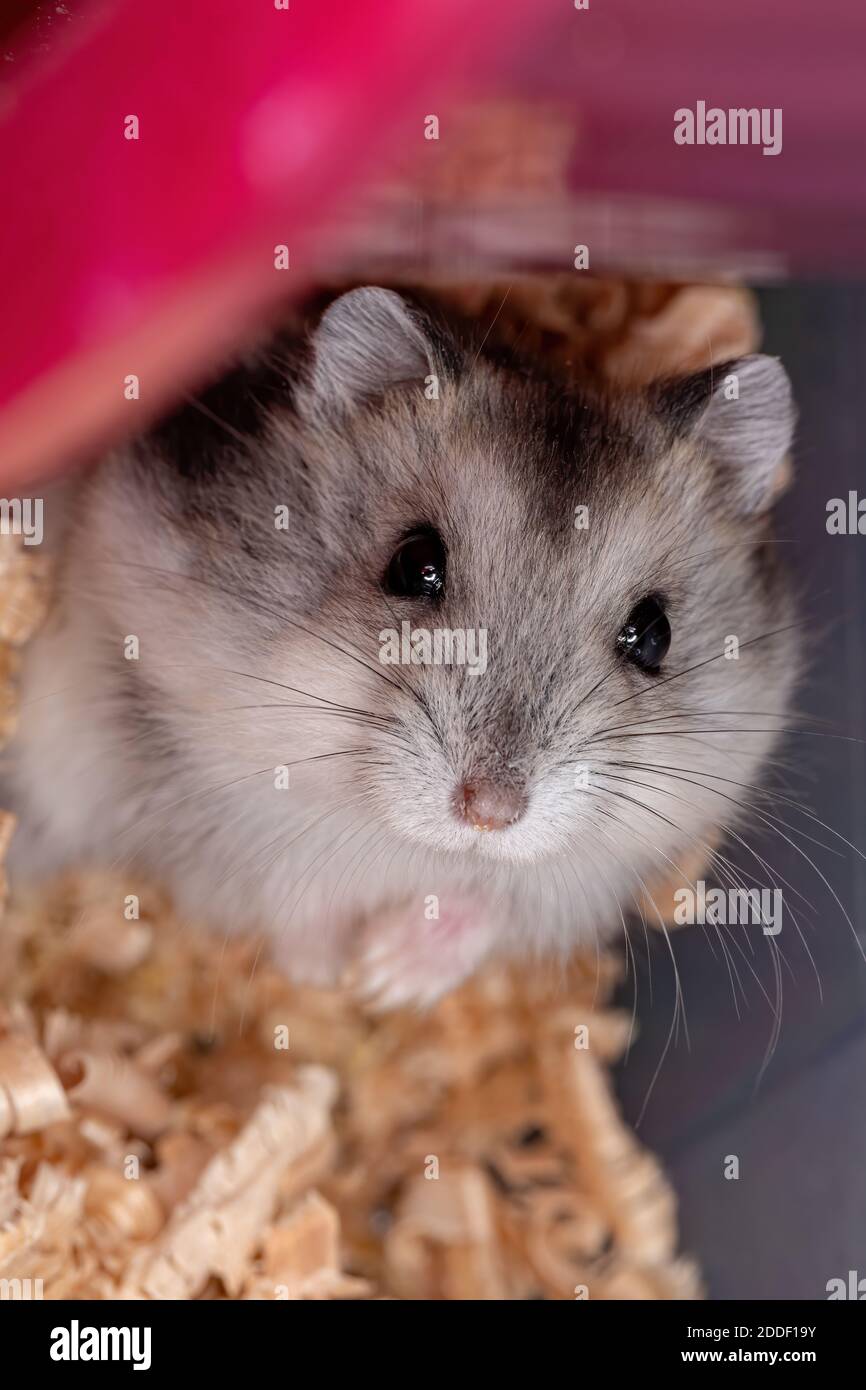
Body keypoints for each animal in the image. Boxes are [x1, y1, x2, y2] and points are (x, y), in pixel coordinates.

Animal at [2, 286, 798, 1006]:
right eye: (415, 564)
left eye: (652, 634)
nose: (489, 815)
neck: (413, 848)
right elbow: (293, 895)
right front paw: (333, 977)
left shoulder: (587, 871)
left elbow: (490, 903)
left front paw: (387, 979)